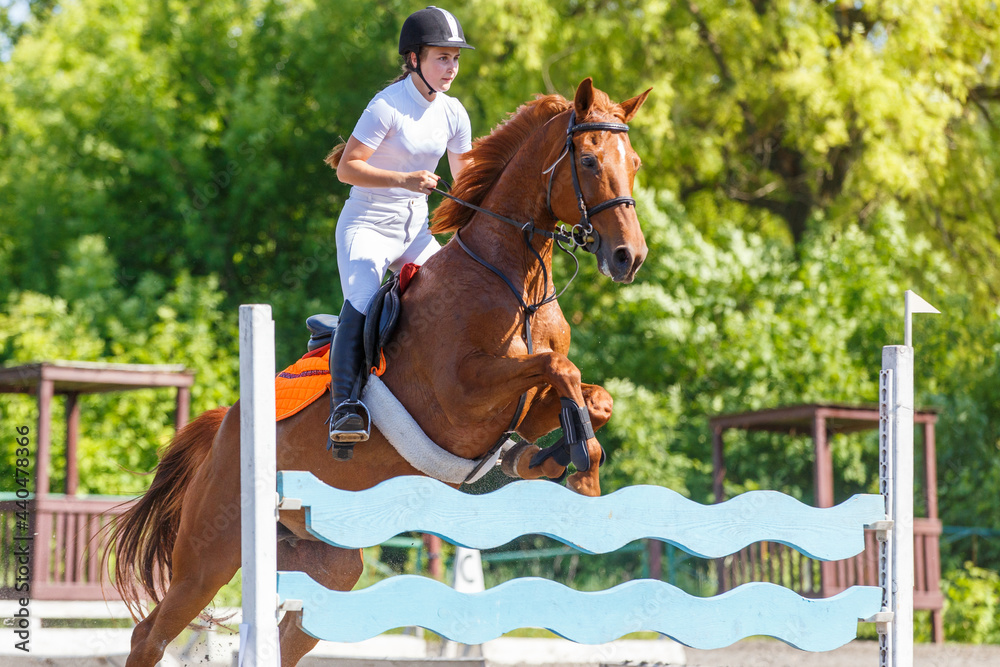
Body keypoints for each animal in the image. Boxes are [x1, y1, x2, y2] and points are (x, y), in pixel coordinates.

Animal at [109, 77, 651, 667]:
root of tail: (224, 428)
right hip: (213, 551)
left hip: (325, 559)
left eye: (635, 163)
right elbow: (558, 368)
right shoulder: (462, 399)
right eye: (590, 161)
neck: (517, 282)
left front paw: (547, 459)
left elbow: (587, 394)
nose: (630, 257)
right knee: (151, 634)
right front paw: (585, 474)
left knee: (294, 628)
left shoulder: (520, 403)